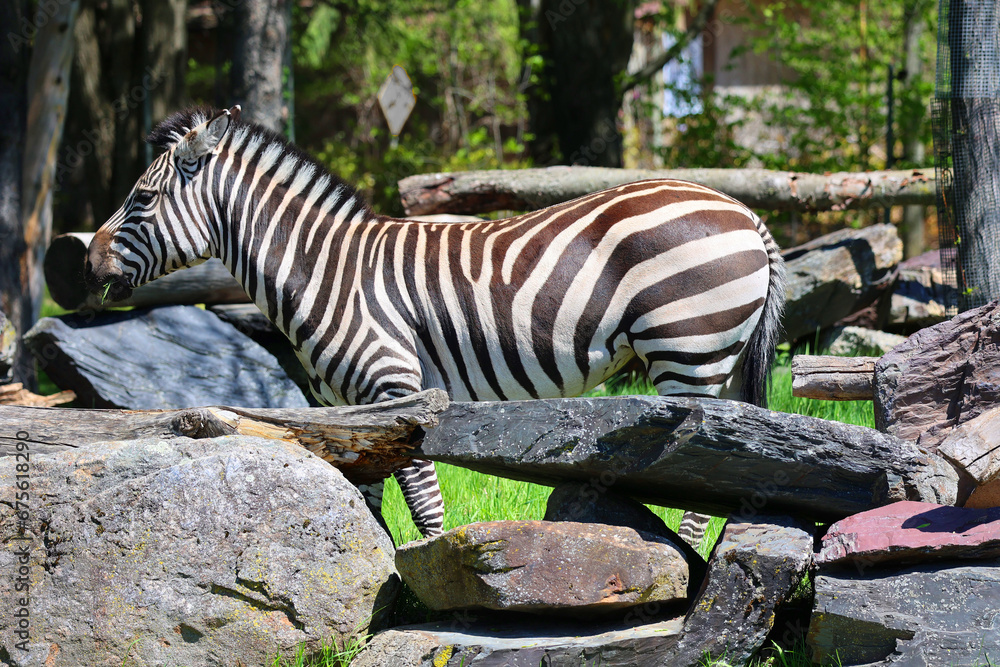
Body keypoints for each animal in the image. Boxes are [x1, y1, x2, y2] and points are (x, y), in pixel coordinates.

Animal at [85, 106, 785, 546]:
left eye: (142, 199)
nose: (85, 261)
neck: (324, 269)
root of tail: (744, 210)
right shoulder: (350, 412)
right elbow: (365, 505)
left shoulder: (396, 389)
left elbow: (423, 504)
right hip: (713, 363)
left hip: (688, 349)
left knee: (696, 491)